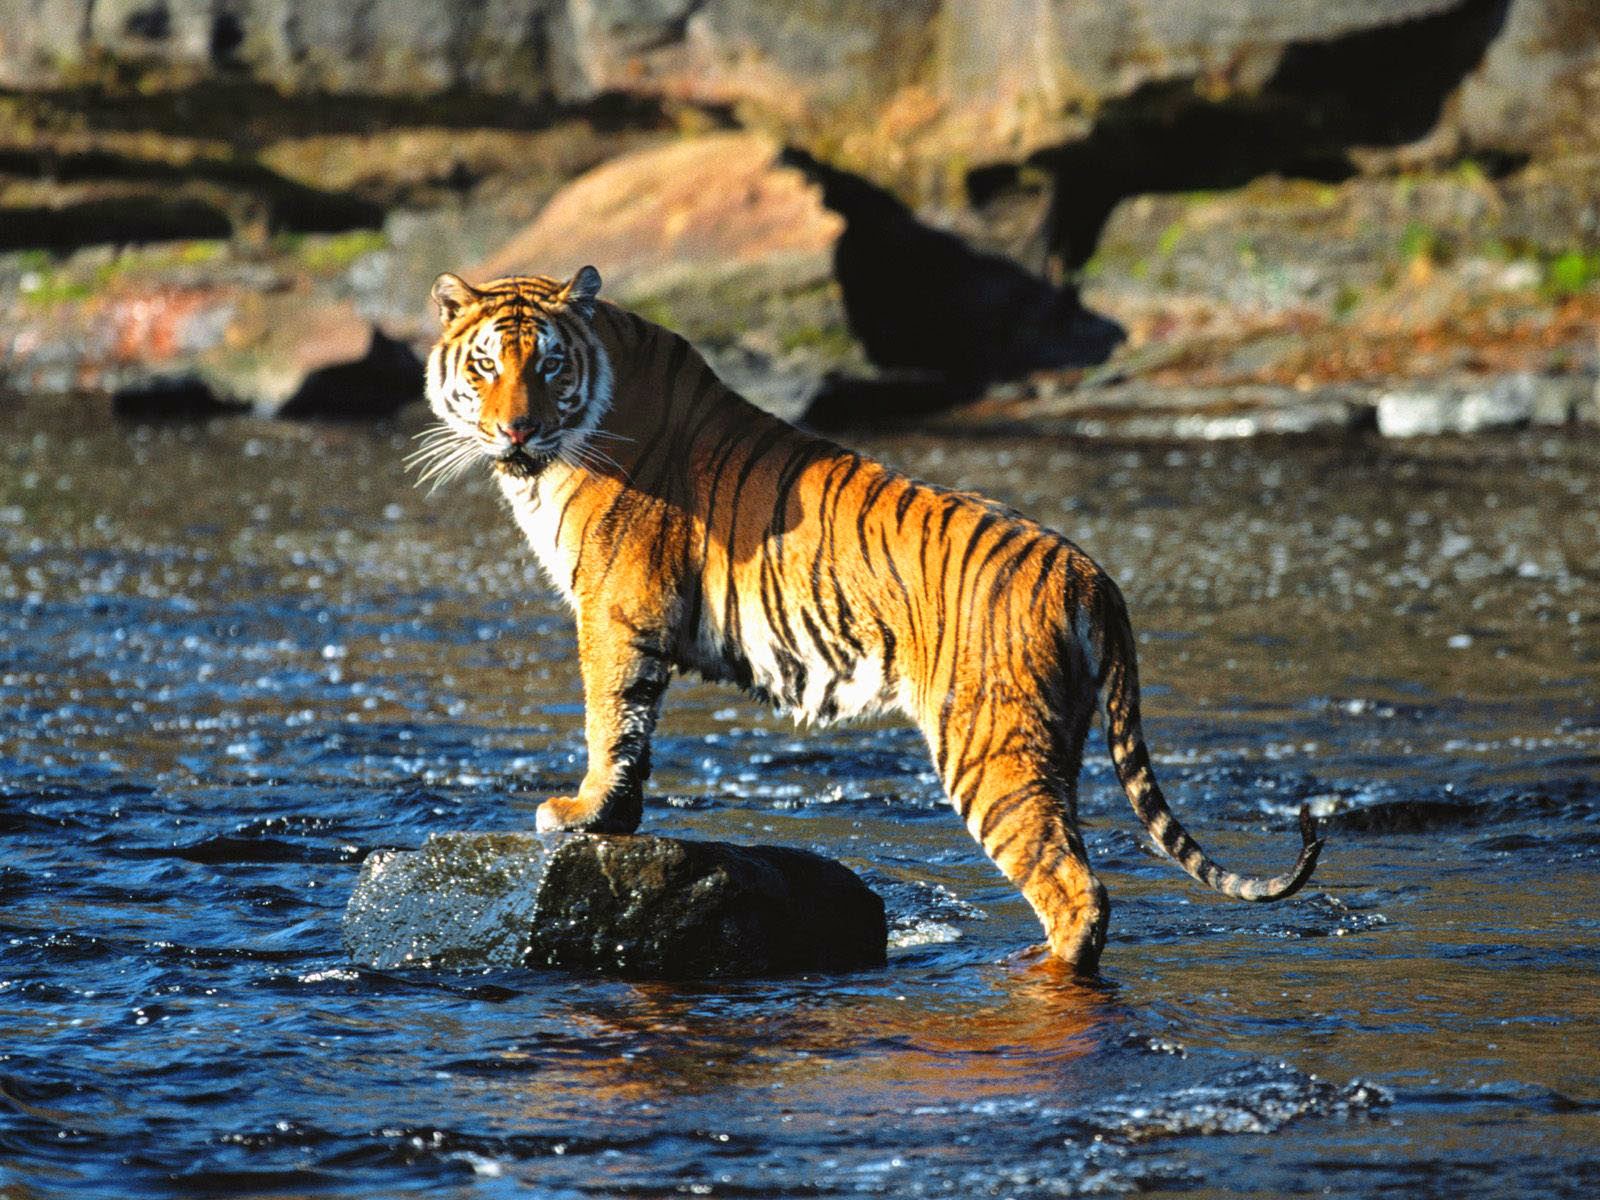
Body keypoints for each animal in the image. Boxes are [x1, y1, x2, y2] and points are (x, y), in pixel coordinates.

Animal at [416, 266, 1323, 972]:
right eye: (488, 364)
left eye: (548, 366)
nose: (516, 428)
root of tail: (1088, 569)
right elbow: (634, 730)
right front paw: (617, 818)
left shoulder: (616, 603)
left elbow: (612, 718)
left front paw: (582, 814)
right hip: (1051, 744)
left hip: (989, 747)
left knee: (1076, 890)